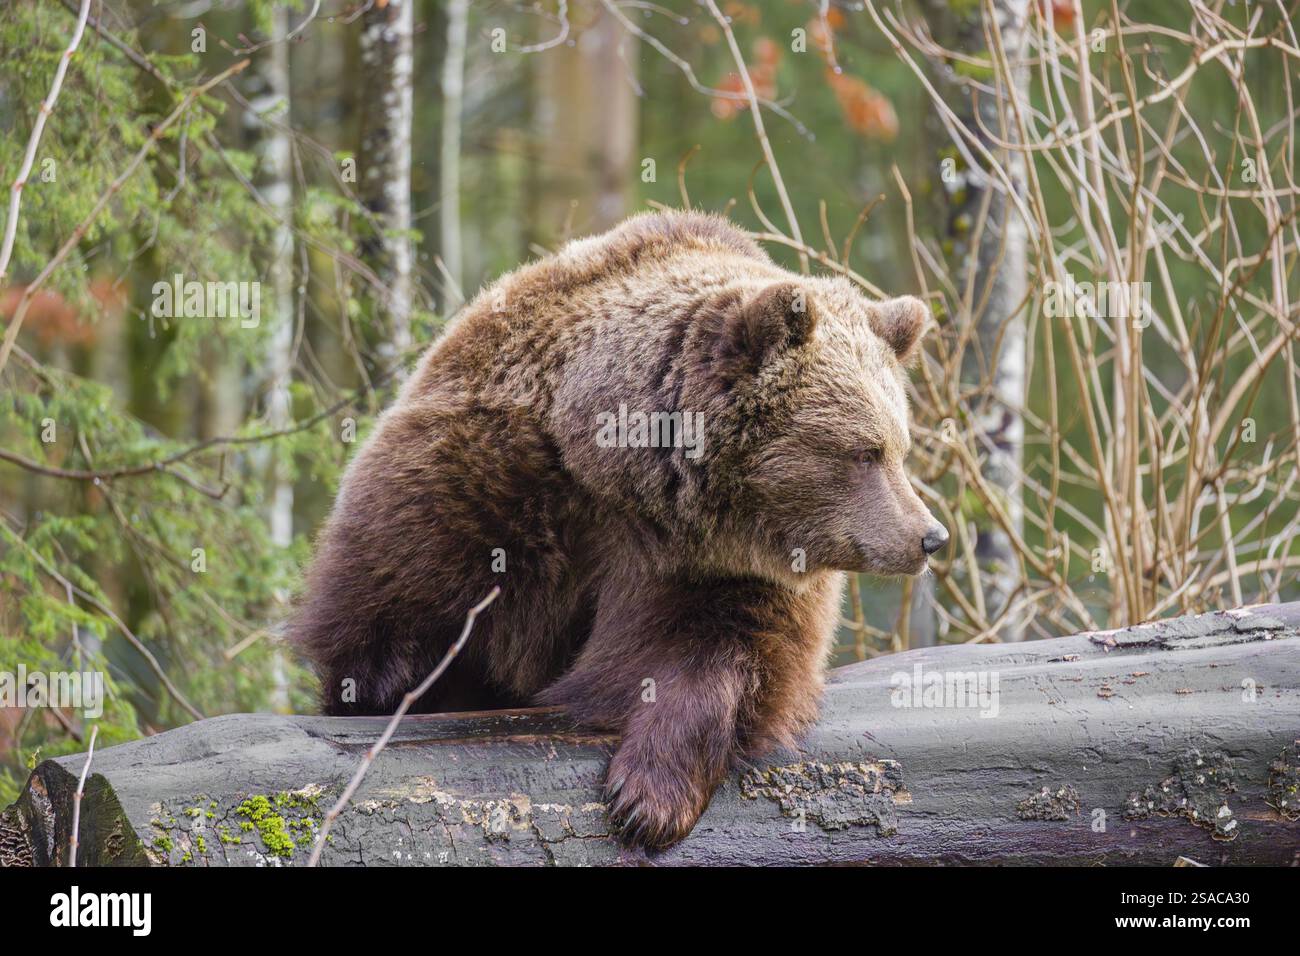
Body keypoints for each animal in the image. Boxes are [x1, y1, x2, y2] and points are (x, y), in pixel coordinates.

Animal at [290, 210, 948, 849]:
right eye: (865, 452)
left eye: (899, 447)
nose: (929, 536)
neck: (623, 477)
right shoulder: (479, 486)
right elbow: (391, 617)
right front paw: (392, 693)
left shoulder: (716, 566)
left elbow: (729, 655)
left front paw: (648, 798)